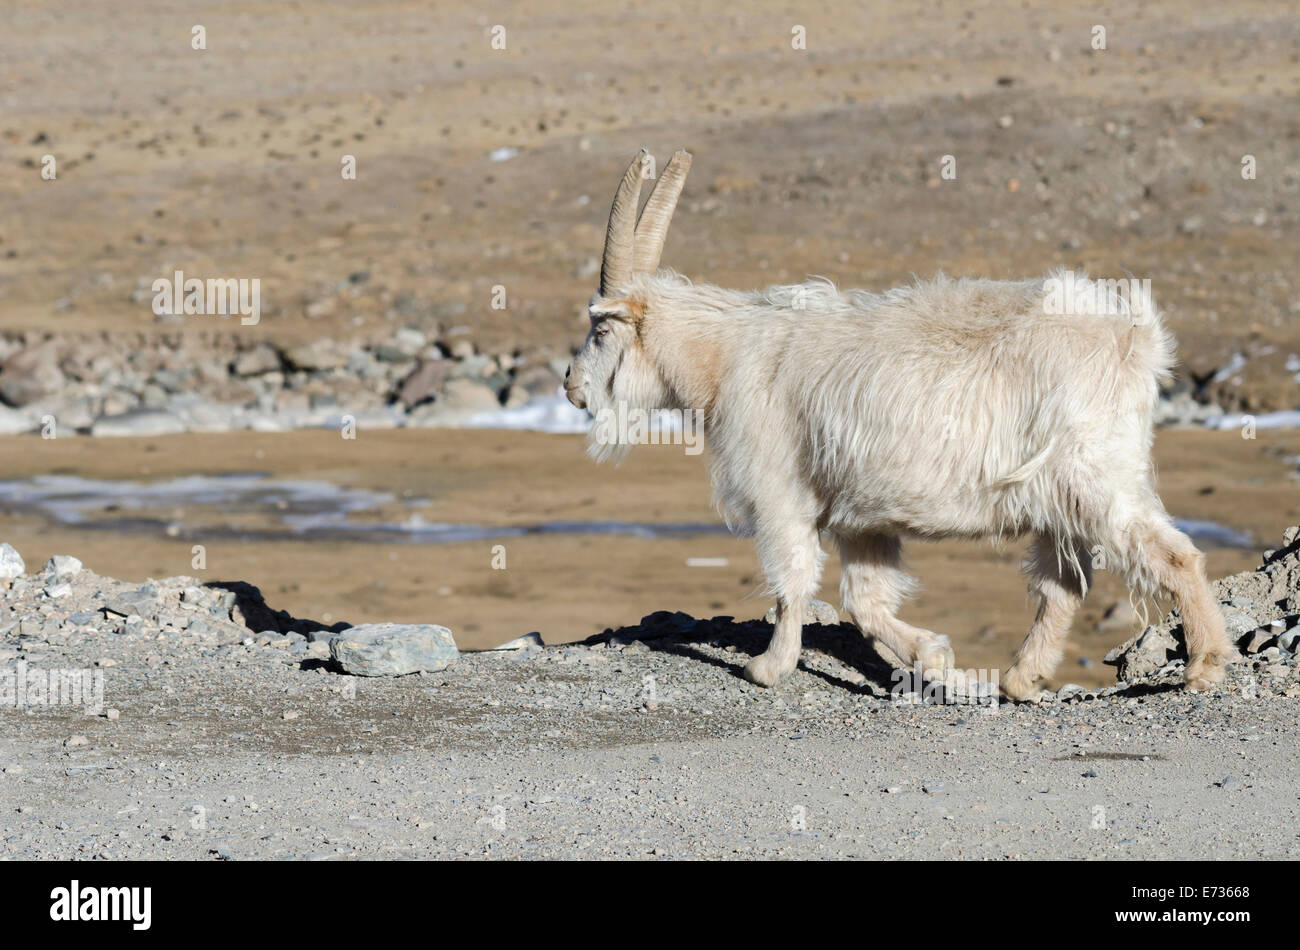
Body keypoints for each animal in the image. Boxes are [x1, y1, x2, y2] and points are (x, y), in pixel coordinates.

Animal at [564, 148, 1232, 700]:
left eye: (599, 329)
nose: (570, 386)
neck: (725, 354)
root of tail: (1134, 336)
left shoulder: (780, 491)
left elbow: (793, 580)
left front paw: (768, 668)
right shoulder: (864, 517)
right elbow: (863, 599)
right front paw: (936, 660)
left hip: (1096, 475)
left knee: (1173, 557)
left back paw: (1203, 666)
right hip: (1058, 493)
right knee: (1062, 584)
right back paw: (1019, 680)